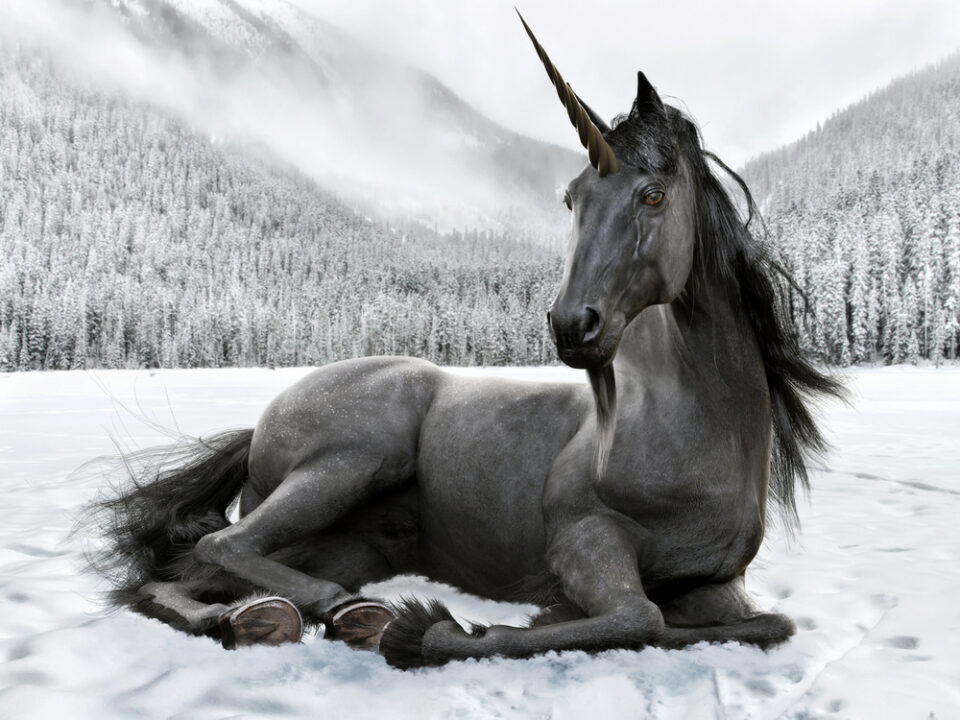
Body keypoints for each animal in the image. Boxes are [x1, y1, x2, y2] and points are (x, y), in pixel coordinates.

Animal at [85, 13, 843, 668]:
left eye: (653, 194)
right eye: (571, 198)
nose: (573, 325)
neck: (687, 433)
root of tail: (264, 420)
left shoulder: (714, 581)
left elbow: (767, 622)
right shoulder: (585, 538)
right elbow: (637, 619)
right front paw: (432, 630)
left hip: (342, 543)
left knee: (182, 574)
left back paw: (261, 617)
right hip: (353, 461)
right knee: (223, 544)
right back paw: (337, 613)